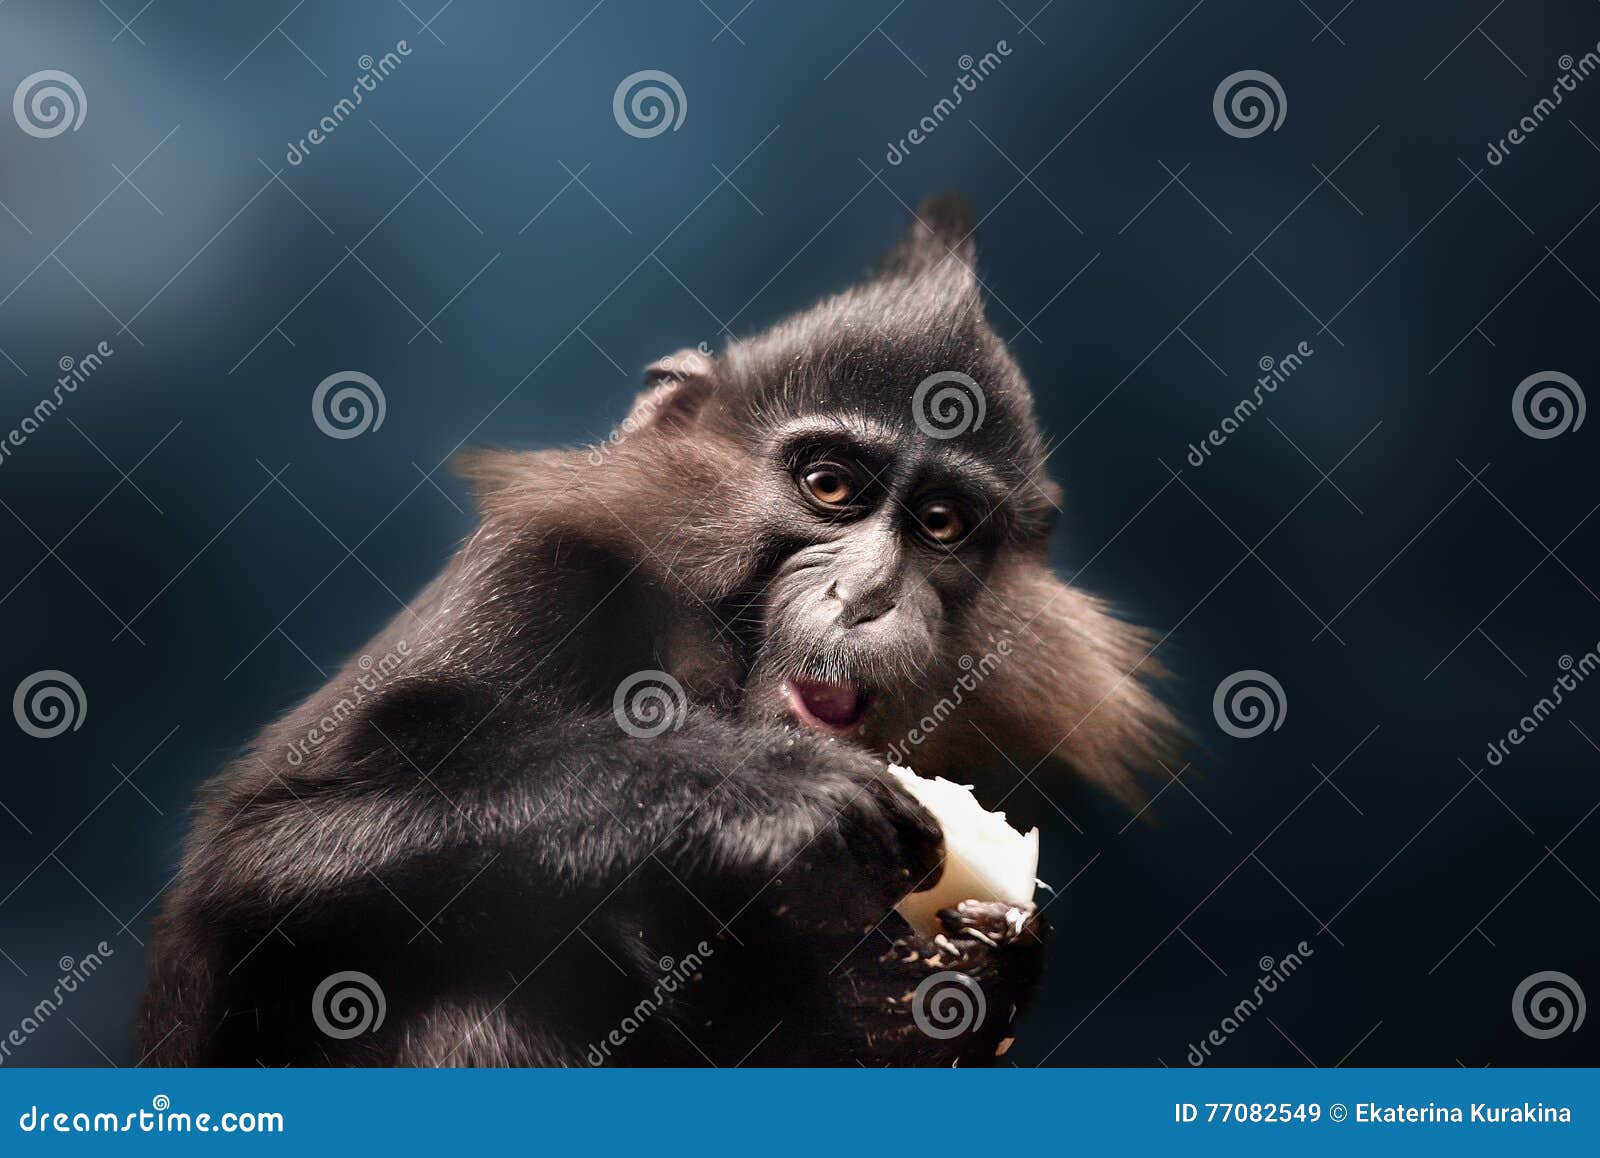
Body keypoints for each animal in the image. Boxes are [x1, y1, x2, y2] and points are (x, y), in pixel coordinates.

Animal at [138, 196, 1180, 1066]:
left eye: (940, 525)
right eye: (830, 484)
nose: (871, 592)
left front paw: (984, 975)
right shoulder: (530, 567)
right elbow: (248, 861)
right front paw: (754, 793)